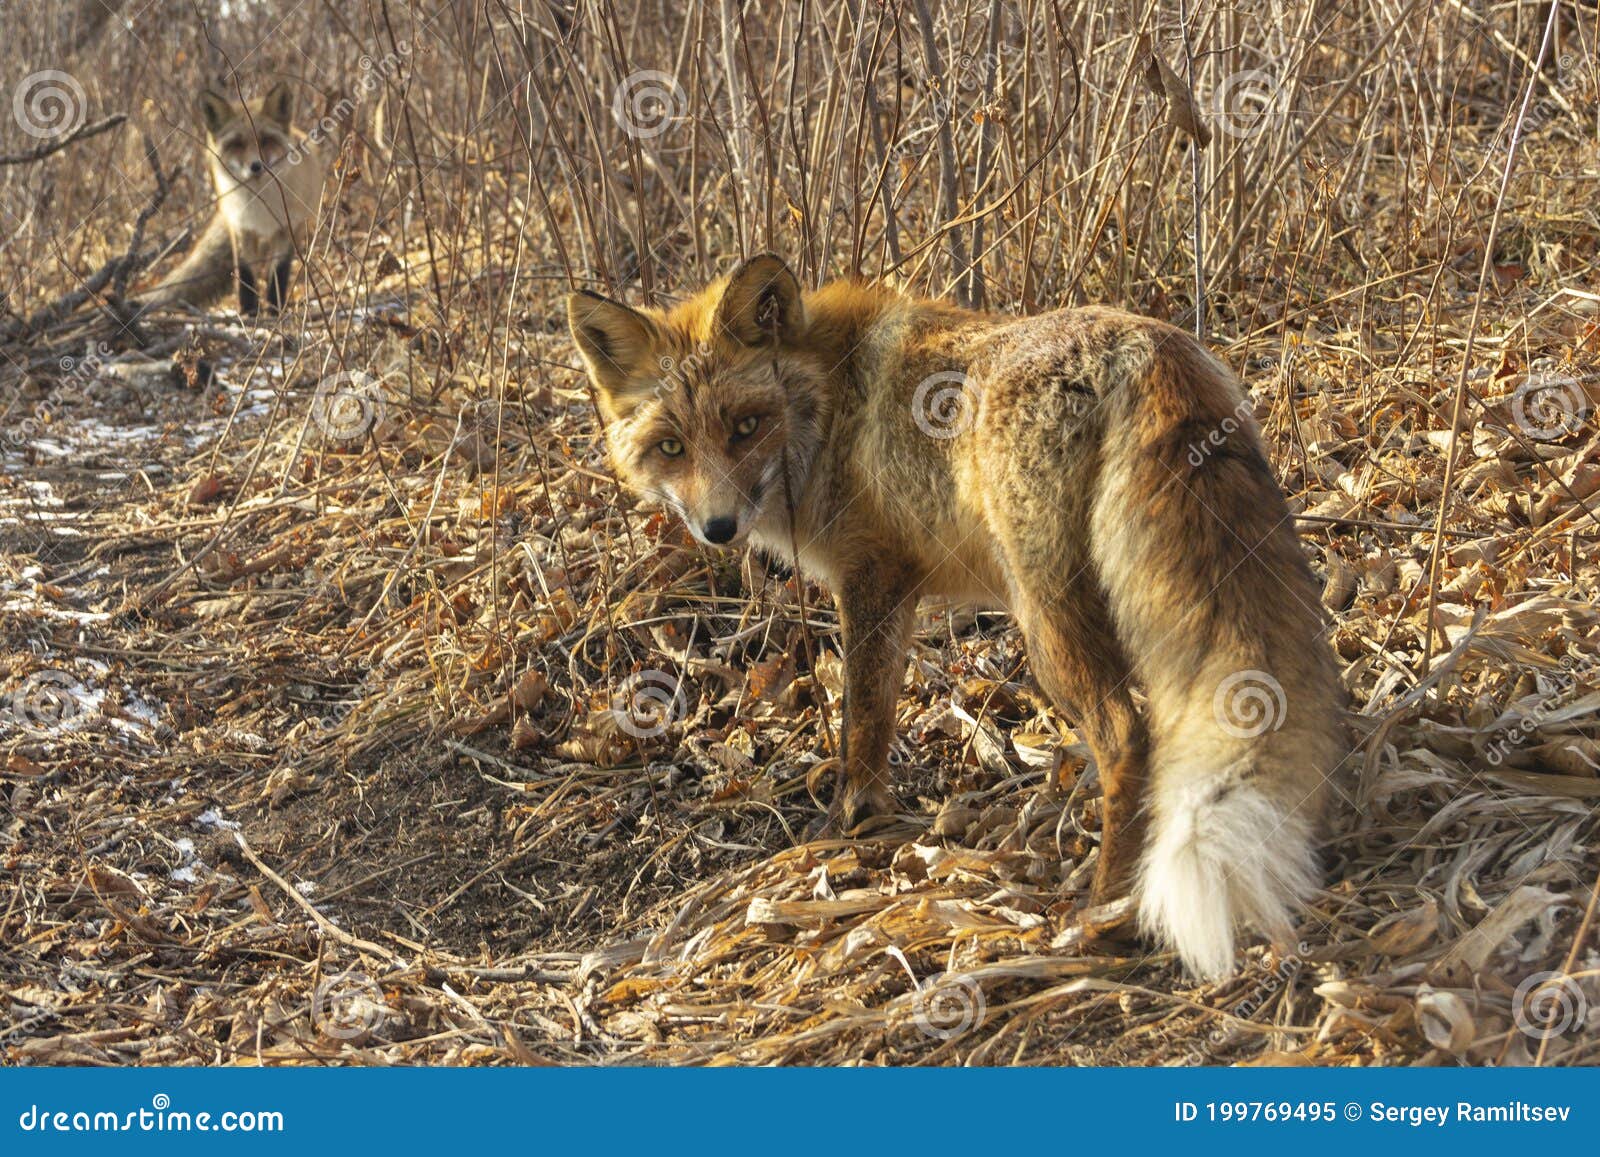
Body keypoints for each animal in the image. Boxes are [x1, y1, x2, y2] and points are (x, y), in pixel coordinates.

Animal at [136, 82, 325, 317]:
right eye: (237, 144)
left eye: (266, 140)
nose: (256, 166)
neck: (261, 206)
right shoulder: (240, 227)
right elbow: (245, 273)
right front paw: (248, 312)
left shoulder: (287, 229)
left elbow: (278, 274)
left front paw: (275, 311)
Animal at [567, 255, 1346, 980]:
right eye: (672, 446)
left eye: (746, 426)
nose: (718, 528)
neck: (830, 406)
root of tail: (1144, 344)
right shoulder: (900, 586)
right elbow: (876, 716)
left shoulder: (873, 575)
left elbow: (863, 721)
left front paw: (850, 824)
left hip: (1043, 619)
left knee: (1128, 735)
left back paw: (1105, 914)